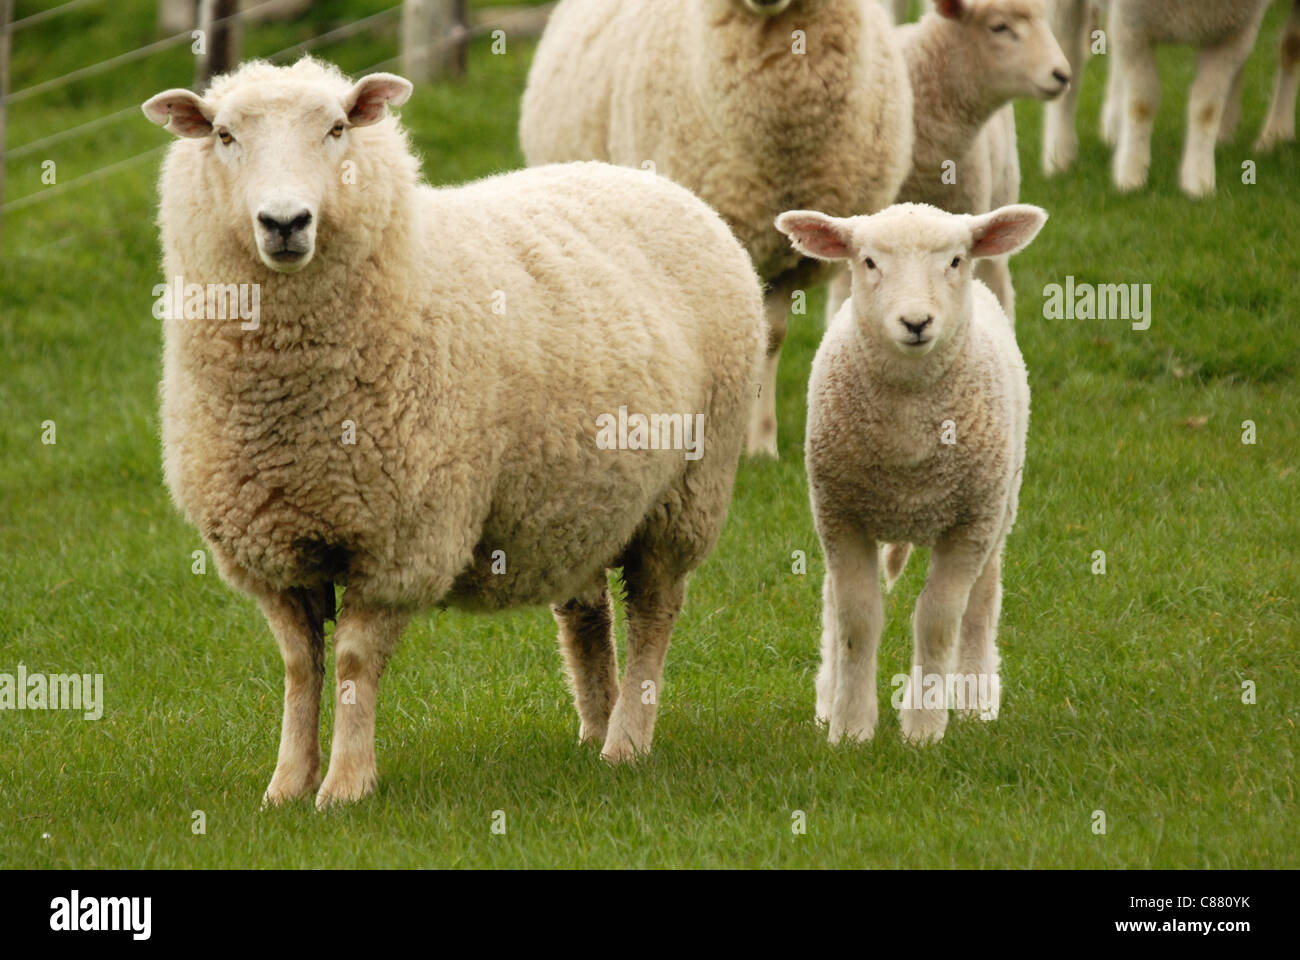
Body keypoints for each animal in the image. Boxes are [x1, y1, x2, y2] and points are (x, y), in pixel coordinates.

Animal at [142, 57, 766, 808]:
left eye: (338, 128)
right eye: (225, 135)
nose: (285, 222)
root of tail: (648, 179)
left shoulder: (402, 540)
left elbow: (352, 663)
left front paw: (346, 786)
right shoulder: (269, 550)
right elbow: (299, 666)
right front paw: (287, 785)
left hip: (687, 491)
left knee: (654, 611)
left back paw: (627, 741)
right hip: (574, 498)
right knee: (586, 613)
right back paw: (595, 725)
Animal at [776, 201, 1047, 745]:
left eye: (956, 260)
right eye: (869, 261)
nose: (916, 322)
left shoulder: (969, 525)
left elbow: (937, 621)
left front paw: (923, 728)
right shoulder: (841, 516)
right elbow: (858, 620)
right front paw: (850, 728)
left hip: (1000, 507)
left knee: (982, 602)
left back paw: (974, 700)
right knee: (832, 603)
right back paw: (828, 697)